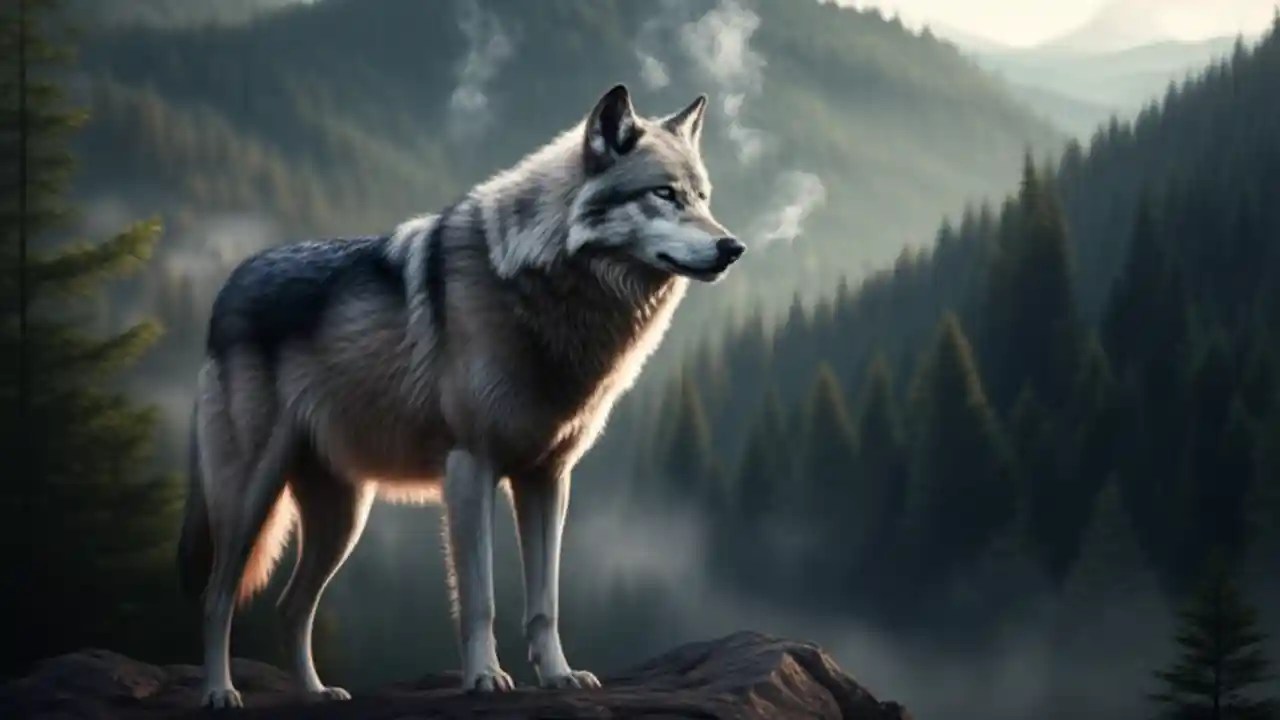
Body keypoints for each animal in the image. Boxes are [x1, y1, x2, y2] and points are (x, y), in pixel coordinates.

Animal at [177, 85, 744, 708]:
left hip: (343, 517)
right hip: (249, 497)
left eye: (702, 197)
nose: (733, 246)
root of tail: (228, 285)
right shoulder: (471, 469)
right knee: (216, 597)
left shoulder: (548, 478)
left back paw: (316, 692)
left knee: (290, 606)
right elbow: (480, 599)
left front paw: (559, 676)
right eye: (664, 194)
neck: (544, 288)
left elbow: (545, 603)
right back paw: (219, 692)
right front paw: (485, 678)